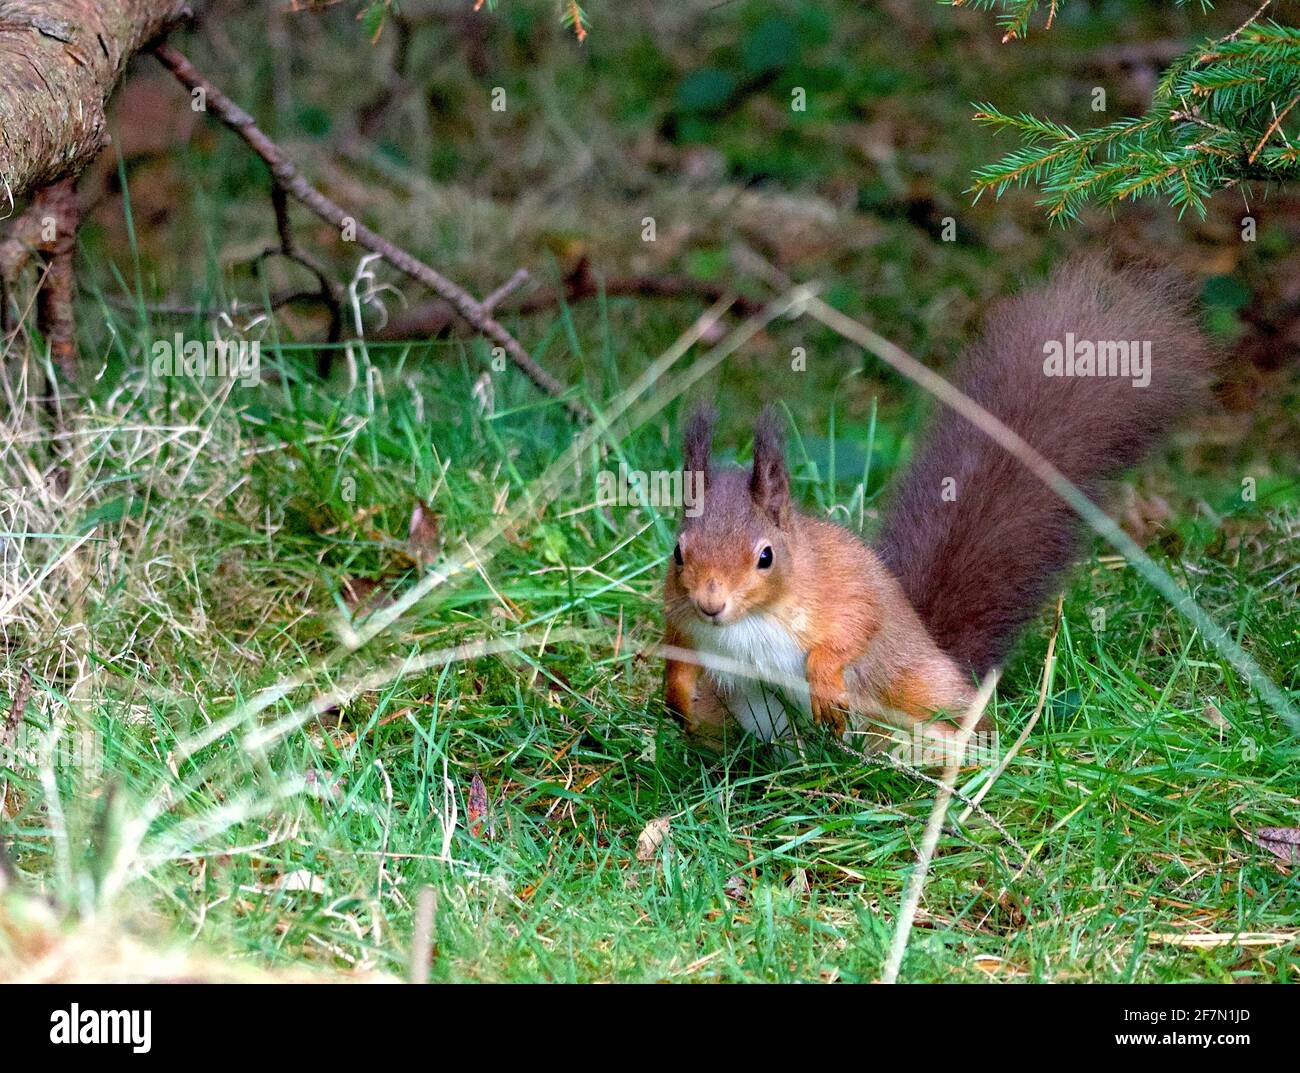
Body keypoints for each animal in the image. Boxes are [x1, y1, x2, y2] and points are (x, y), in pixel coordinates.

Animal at [661, 256, 1214, 744]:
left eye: (766, 557)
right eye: (678, 552)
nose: (711, 604)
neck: (748, 621)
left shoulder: (840, 587)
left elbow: (857, 625)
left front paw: (825, 680)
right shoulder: (682, 617)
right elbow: (678, 651)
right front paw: (677, 696)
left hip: (919, 687)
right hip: (753, 708)